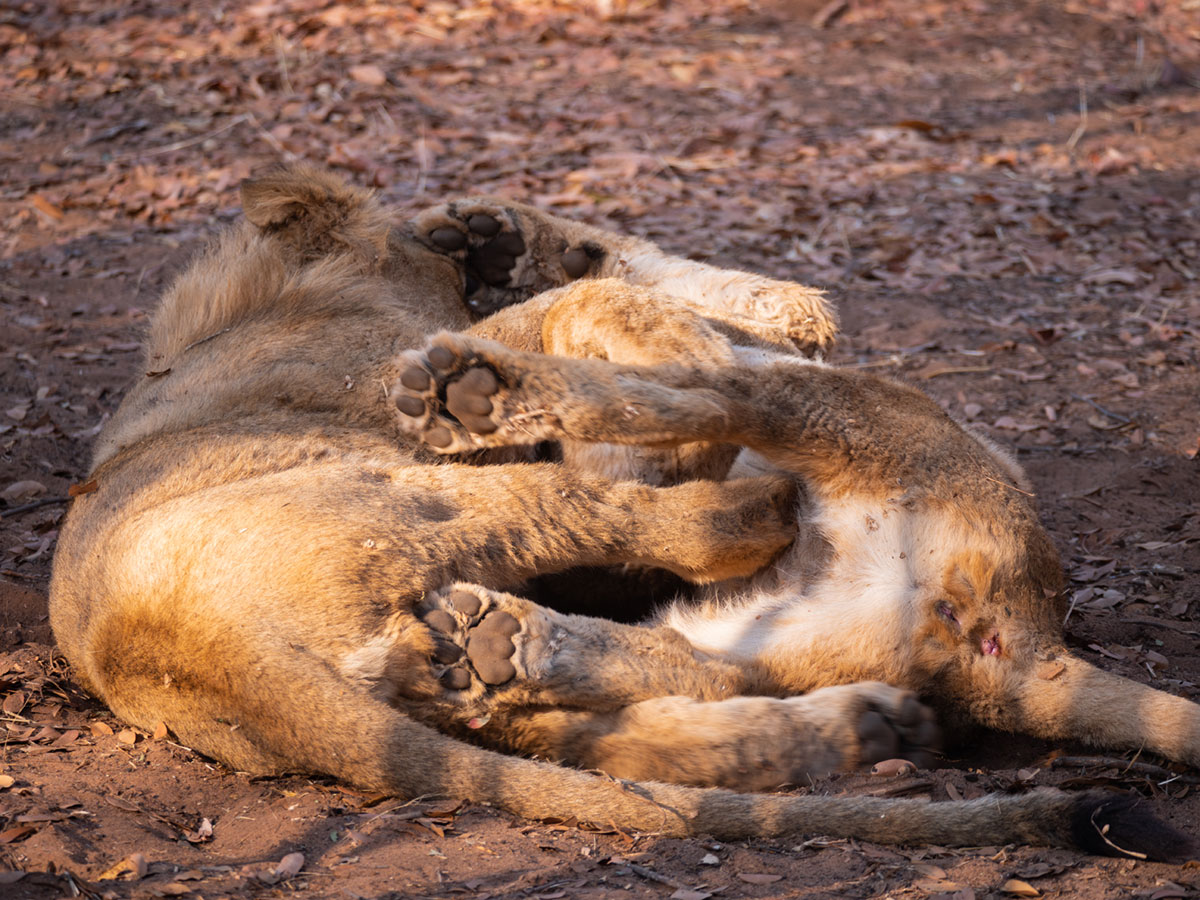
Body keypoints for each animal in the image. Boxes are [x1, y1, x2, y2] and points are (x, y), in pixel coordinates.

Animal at [49, 166, 1196, 860]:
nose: (468, 238)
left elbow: (615, 287)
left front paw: (513, 240)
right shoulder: (404, 357)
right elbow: (609, 304)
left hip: (753, 626)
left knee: (643, 695)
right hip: (449, 487)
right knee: (700, 441)